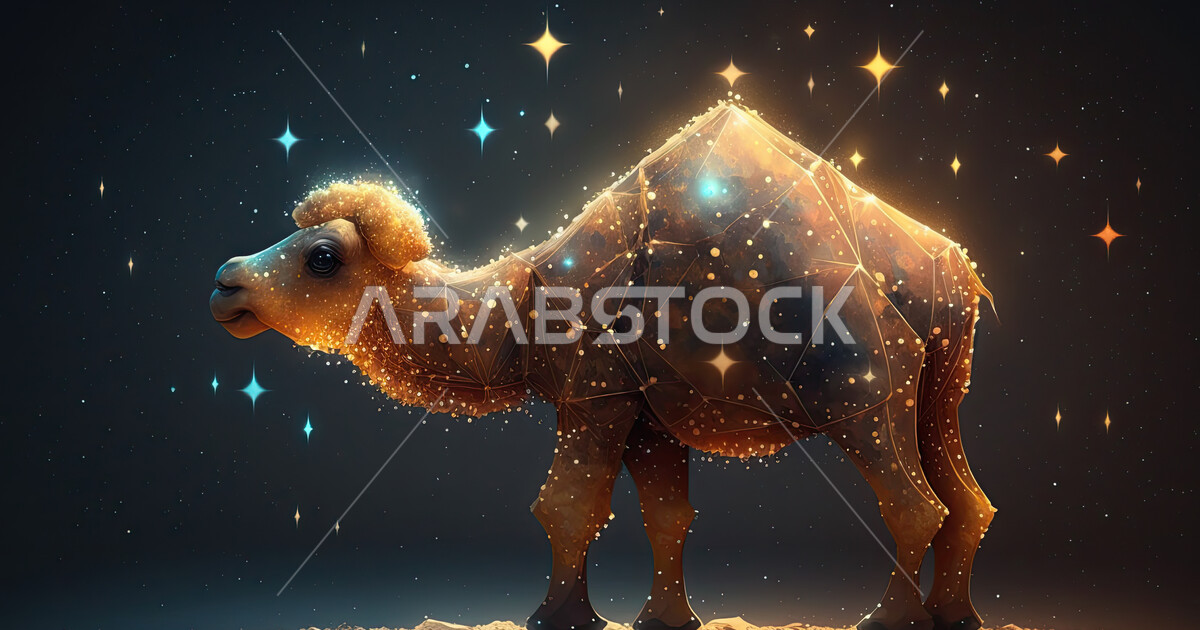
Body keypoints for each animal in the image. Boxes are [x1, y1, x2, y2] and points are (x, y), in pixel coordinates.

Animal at [209, 102, 995, 630]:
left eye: (321, 257)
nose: (226, 281)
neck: (515, 314)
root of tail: (954, 273)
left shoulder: (593, 393)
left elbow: (565, 507)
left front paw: (555, 617)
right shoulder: (652, 410)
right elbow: (667, 517)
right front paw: (663, 619)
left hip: (863, 381)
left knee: (912, 501)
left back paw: (887, 619)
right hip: (941, 383)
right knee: (966, 498)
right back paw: (956, 616)